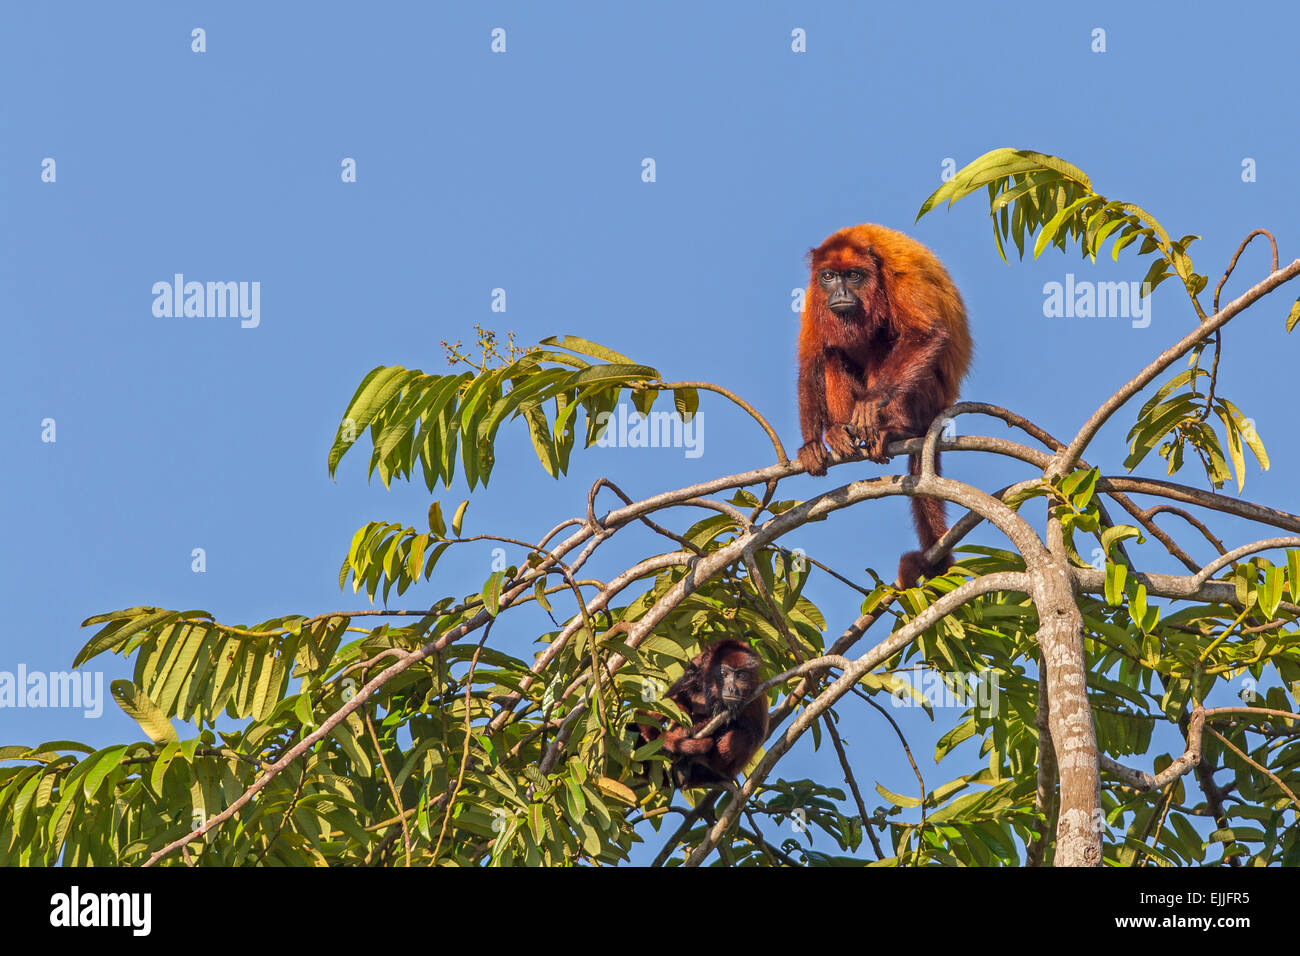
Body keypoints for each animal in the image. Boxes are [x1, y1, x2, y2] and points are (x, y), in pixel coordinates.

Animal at [636, 640, 768, 788]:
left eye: (740, 675)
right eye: (724, 673)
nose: (732, 689)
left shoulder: (756, 688)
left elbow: (756, 731)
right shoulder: (696, 666)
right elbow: (674, 699)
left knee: (744, 736)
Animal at [796, 224, 971, 588]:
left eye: (854, 275)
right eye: (829, 276)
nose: (840, 292)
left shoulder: (899, 275)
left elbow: (926, 335)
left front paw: (872, 404)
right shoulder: (812, 294)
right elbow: (811, 358)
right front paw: (811, 444)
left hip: (929, 397)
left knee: (886, 340)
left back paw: (894, 429)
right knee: (832, 352)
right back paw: (837, 433)